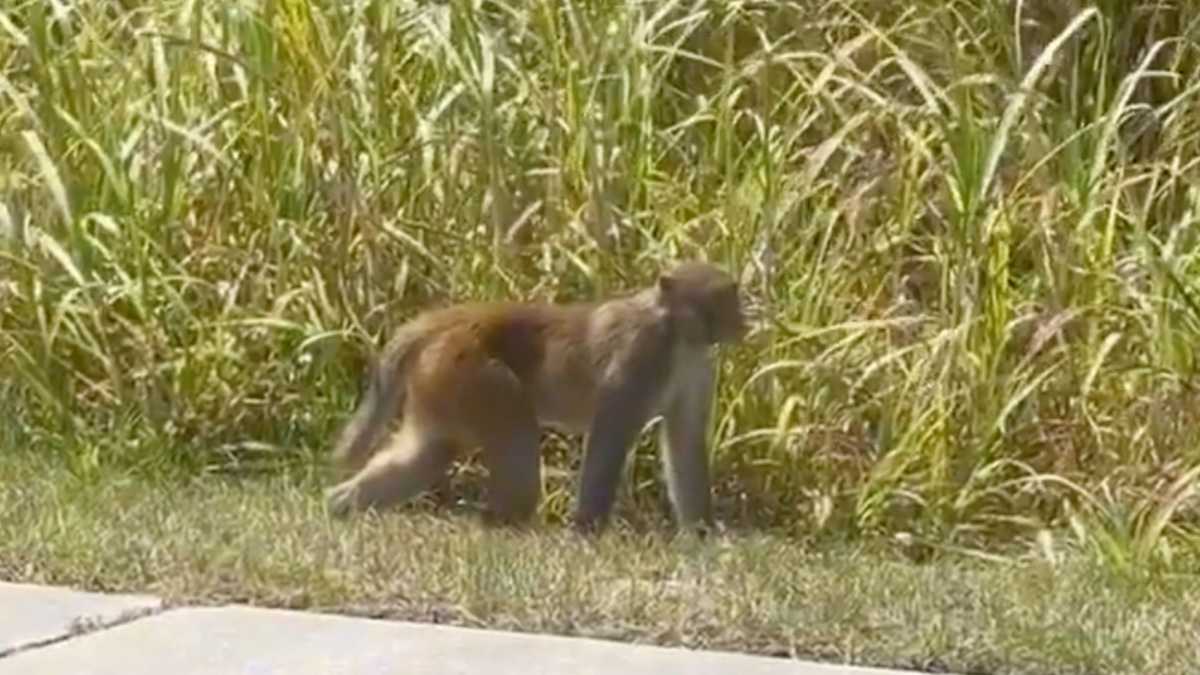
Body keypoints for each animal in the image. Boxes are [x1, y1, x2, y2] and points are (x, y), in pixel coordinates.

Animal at [324, 260, 748, 532]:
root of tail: (453, 319)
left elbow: (685, 437)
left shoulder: (698, 366)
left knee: (427, 453)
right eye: (723, 297)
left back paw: (341, 504)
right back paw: (504, 522)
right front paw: (588, 528)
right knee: (515, 433)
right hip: (471, 371)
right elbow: (611, 432)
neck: (677, 332)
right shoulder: (640, 355)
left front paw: (703, 531)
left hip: (441, 379)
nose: (742, 321)